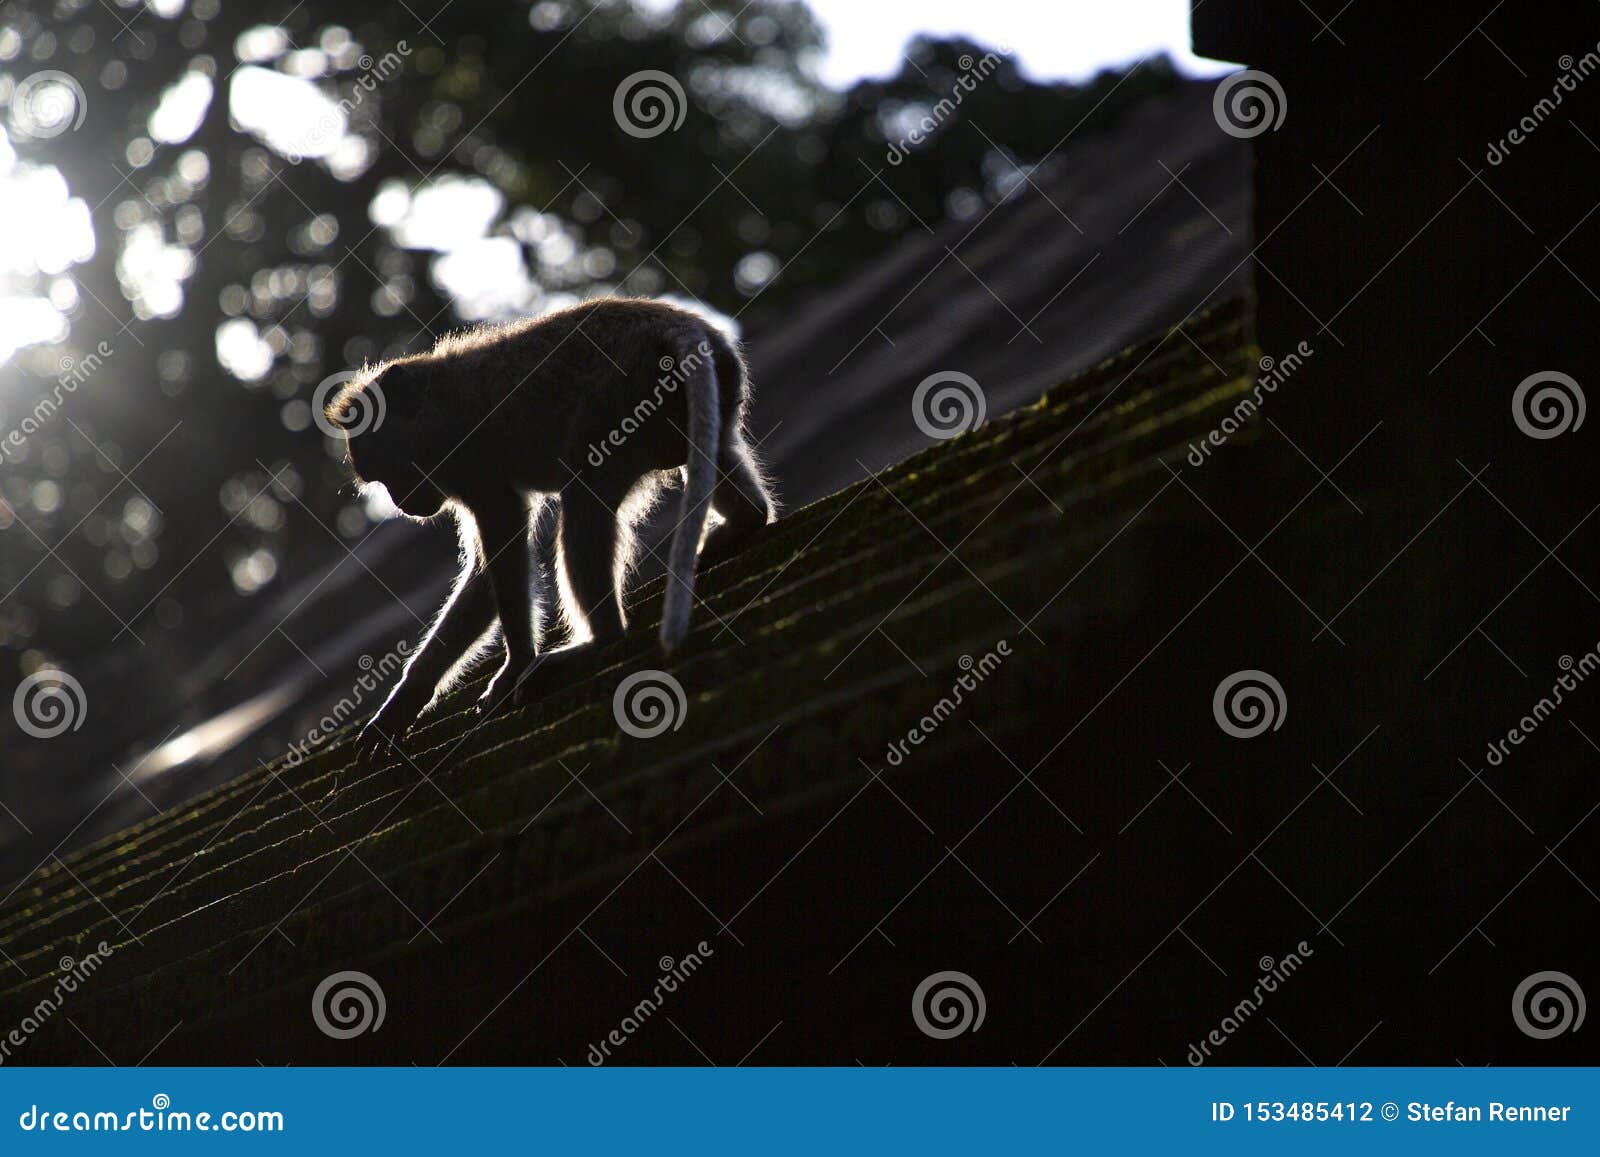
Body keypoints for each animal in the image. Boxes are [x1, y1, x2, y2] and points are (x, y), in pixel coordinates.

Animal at [324, 297, 777, 763]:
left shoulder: (470, 465)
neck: (438, 400)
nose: (400, 501)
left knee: (584, 497)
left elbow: (505, 544)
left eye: (393, 472)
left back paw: (601, 639)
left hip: (619, 398)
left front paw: (517, 664)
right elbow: (487, 576)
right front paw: (406, 699)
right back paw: (748, 518)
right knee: (709, 453)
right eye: (381, 480)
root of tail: (680, 326)